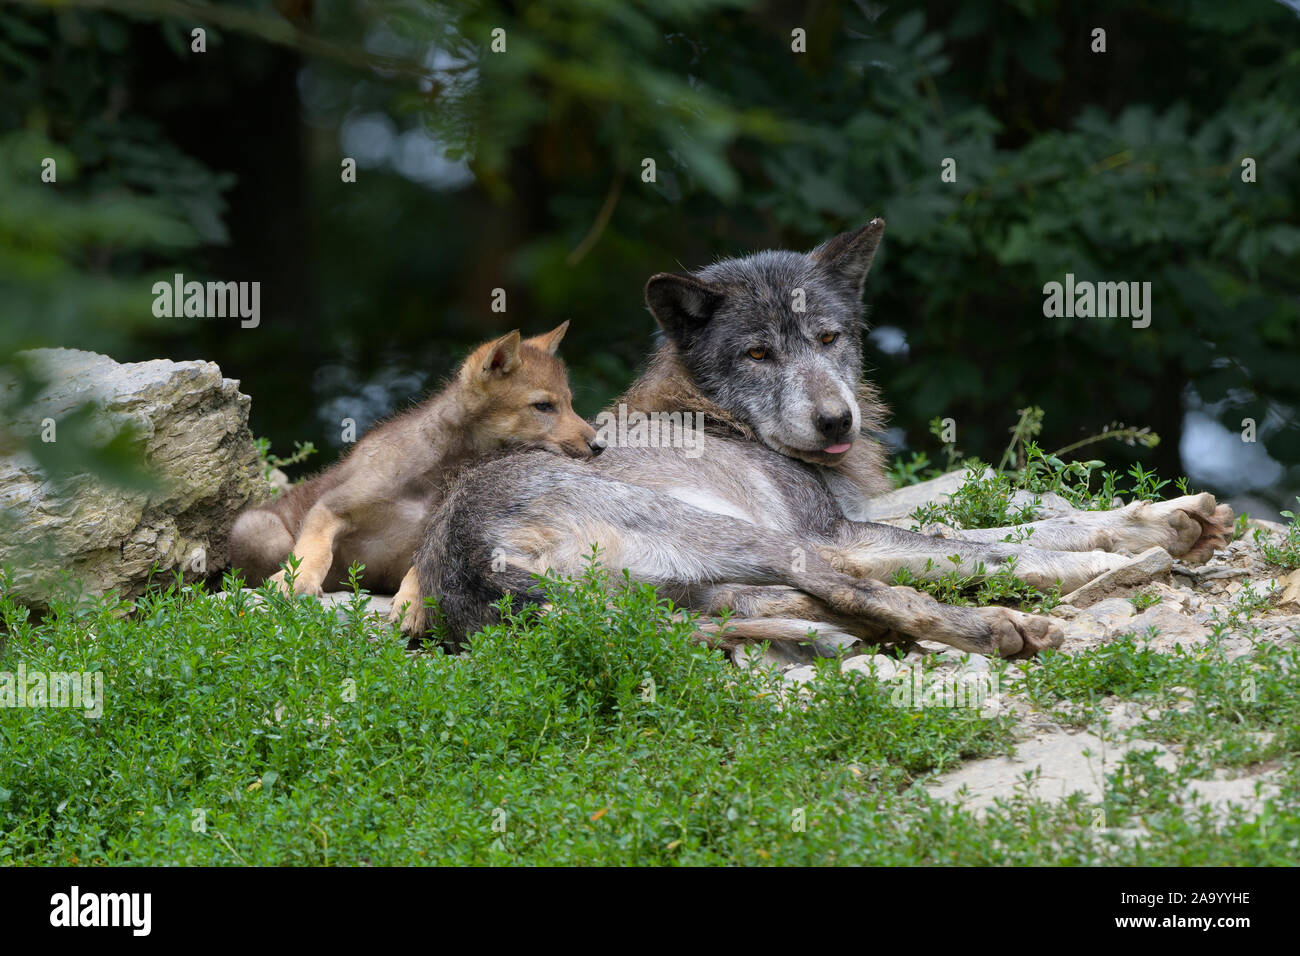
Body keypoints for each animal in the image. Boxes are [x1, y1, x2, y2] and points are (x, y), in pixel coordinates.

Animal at [228, 321, 602, 633]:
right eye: (543, 406)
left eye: (570, 403)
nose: (600, 445)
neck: (431, 474)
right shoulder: (330, 507)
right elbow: (314, 552)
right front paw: (298, 581)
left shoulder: (434, 537)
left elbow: (417, 573)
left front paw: (413, 607)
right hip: (259, 530)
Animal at [415, 220, 1232, 659]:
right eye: (757, 354)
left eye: (830, 337)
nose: (837, 422)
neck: (719, 415)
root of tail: (468, 565)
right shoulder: (840, 529)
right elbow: (998, 544)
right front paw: (1104, 557)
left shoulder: (853, 515)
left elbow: (1019, 518)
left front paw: (1160, 521)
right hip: (762, 542)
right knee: (873, 591)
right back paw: (1006, 625)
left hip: (708, 589)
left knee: (828, 605)